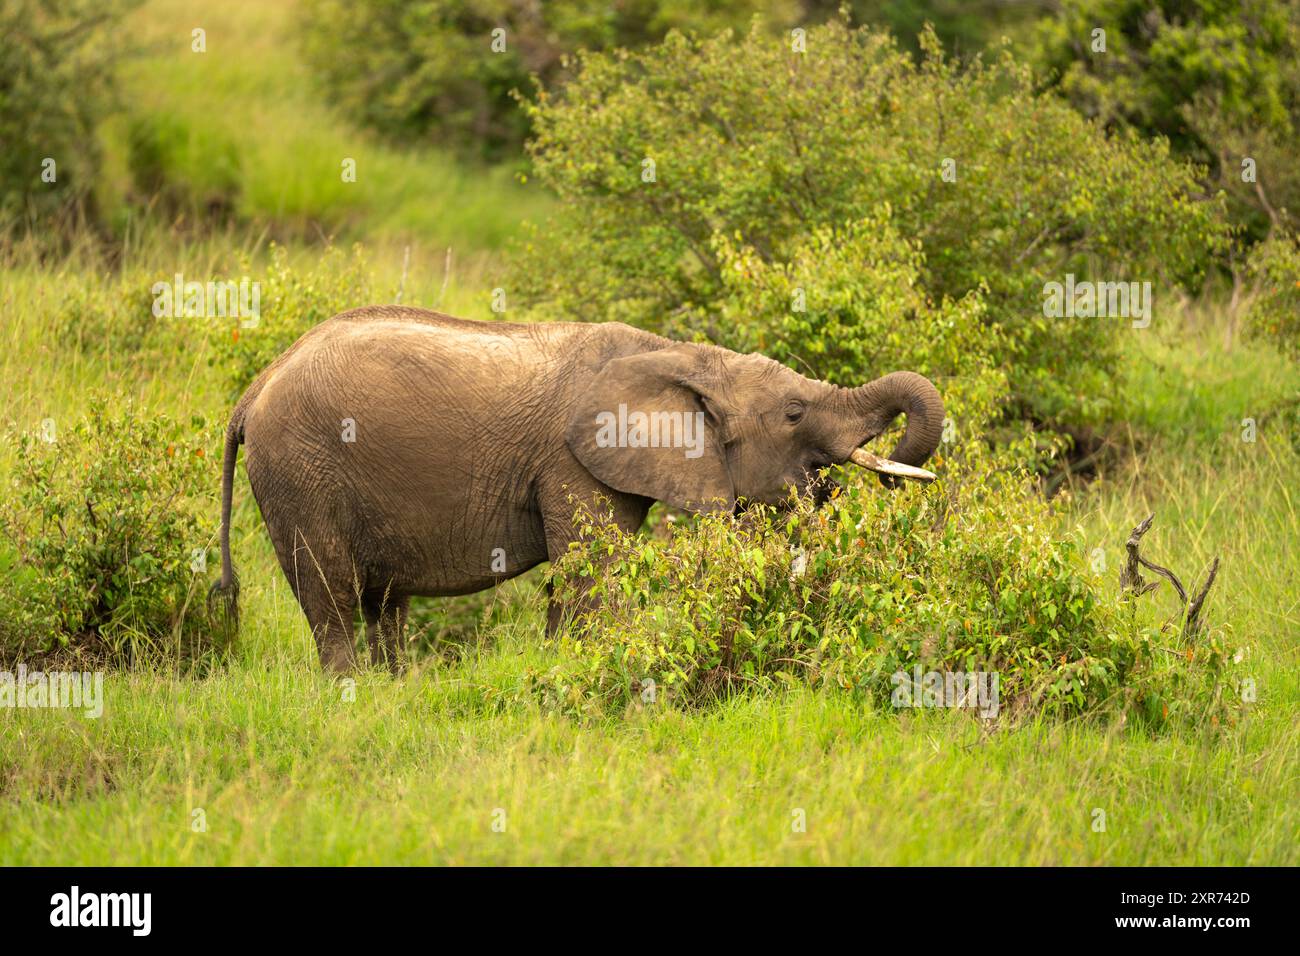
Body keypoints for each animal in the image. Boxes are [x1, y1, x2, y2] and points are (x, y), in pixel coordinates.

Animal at [210, 306, 944, 672]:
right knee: (330, 588)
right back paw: (353, 693)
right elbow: (593, 569)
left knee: (383, 600)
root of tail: (253, 390)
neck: (684, 354)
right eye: (794, 413)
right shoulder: (570, 460)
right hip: (300, 467)